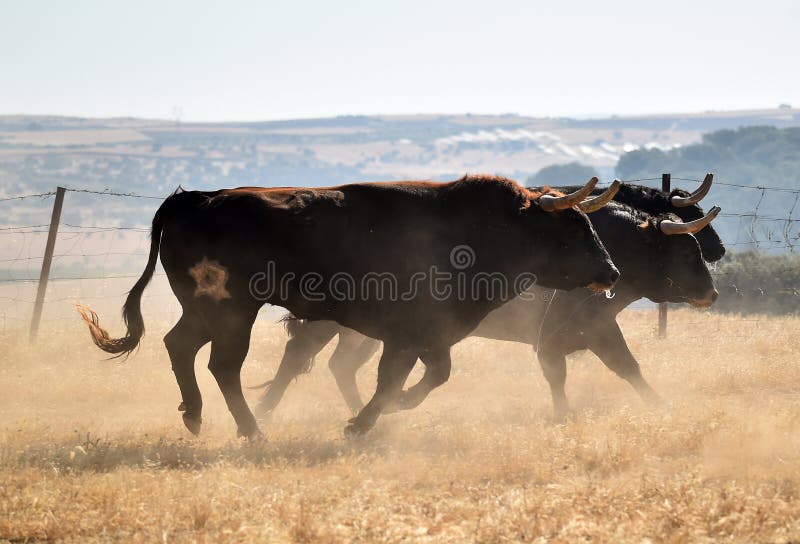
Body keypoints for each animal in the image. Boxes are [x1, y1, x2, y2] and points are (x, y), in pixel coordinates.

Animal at [77, 175, 619, 438]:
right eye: (573, 229)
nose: (612, 274)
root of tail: (194, 199)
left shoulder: (429, 333)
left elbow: (433, 374)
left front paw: (393, 408)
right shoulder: (406, 333)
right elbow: (393, 378)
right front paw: (361, 423)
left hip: (208, 310)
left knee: (181, 347)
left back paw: (195, 415)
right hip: (232, 311)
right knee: (222, 365)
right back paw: (251, 430)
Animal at [254, 179, 723, 422]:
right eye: (687, 250)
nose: (711, 291)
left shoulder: (599, 329)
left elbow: (628, 366)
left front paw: (660, 404)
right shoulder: (555, 339)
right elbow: (560, 375)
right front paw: (563, 415)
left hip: (360, 332)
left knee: (342, 366)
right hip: (325, 323)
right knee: (297, 357)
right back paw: (265, 411)